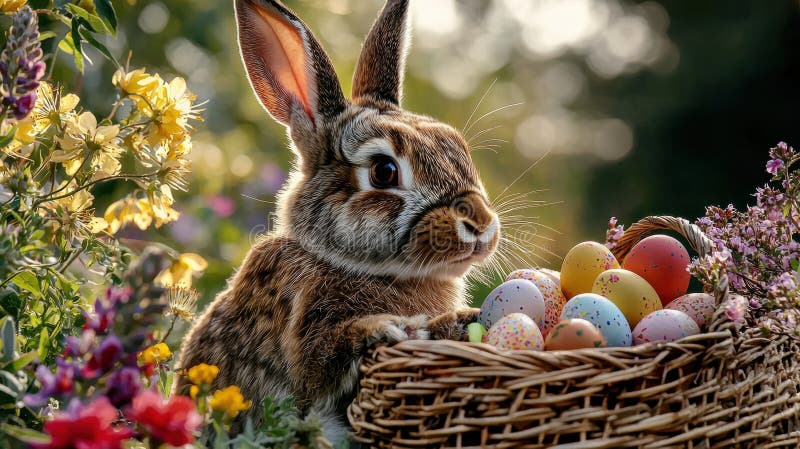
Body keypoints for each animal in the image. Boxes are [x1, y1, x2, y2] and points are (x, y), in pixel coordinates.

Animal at [175, 0, 500, 443]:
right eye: (384, 172)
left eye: (459, 149)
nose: (481, 224)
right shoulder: (303, 332)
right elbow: (320, 364)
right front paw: (387, 329)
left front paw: (458, 323)